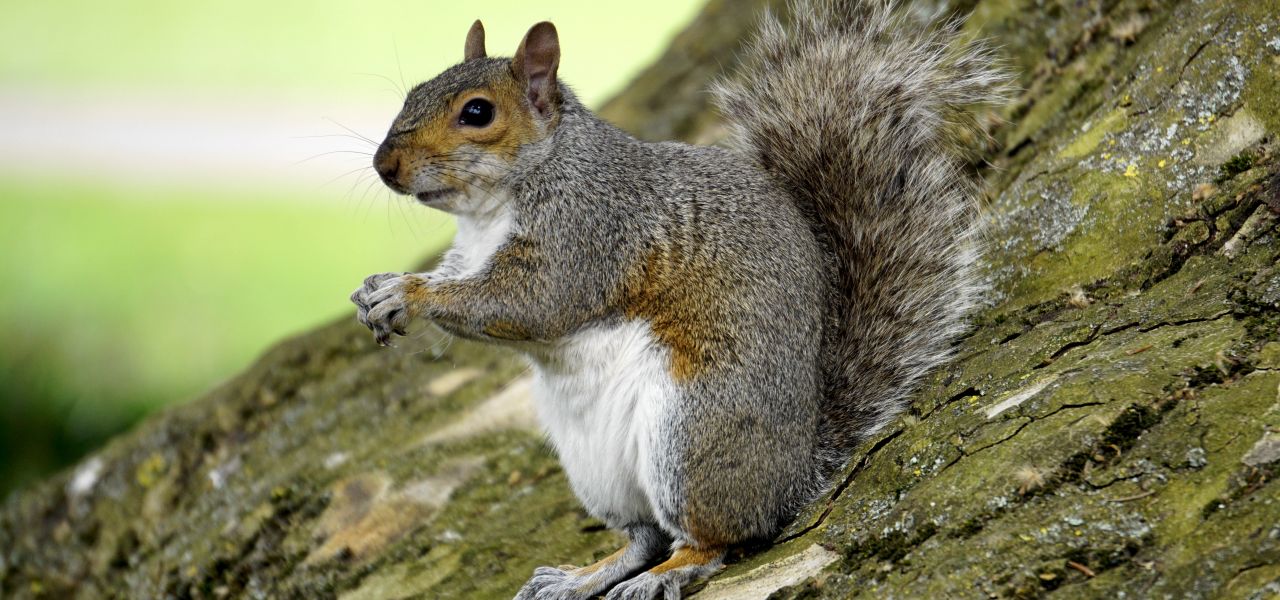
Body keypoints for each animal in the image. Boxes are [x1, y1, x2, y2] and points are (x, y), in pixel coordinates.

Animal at [350, 1, 1007, 598]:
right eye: (414, 92)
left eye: (477, 112)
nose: (385, 165)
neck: (496, 205)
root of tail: (795, 474)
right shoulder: (472, 253)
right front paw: (375, 289)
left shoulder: (587, 235)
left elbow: (527, 304)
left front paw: (409, 293)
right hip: (597, 467)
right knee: (644, 536)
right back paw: (582, 577)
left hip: (691, 434)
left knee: (714, 539)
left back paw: (669, 572)